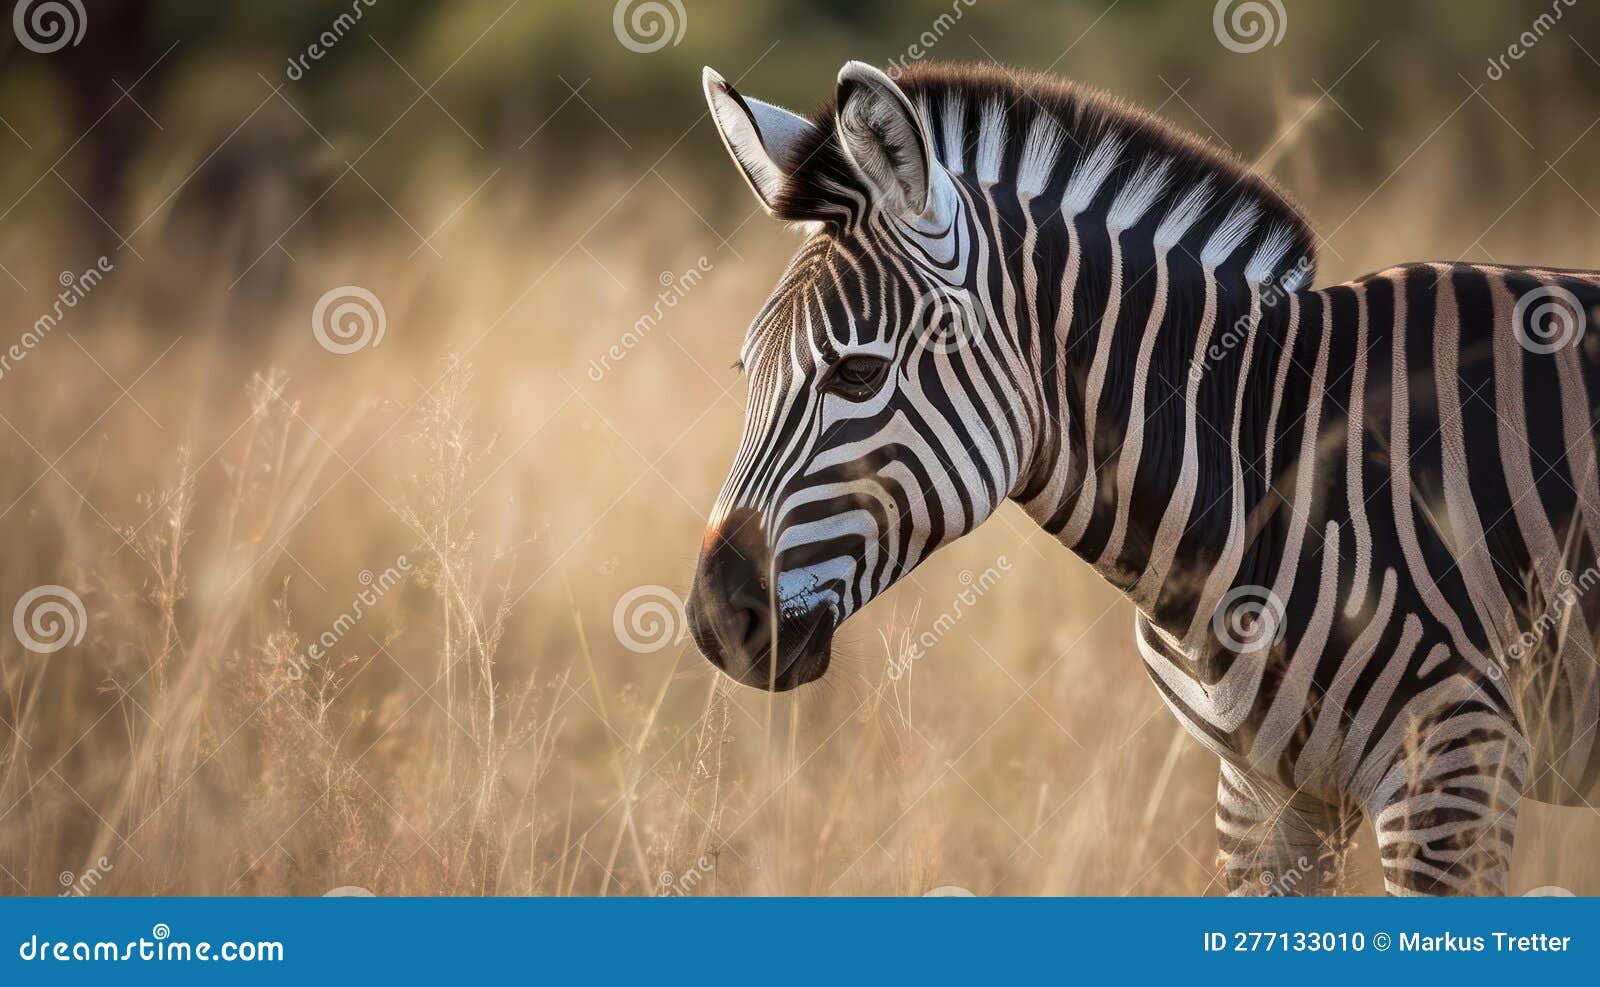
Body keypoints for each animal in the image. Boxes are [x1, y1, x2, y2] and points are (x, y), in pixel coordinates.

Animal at [684, 59, 1600, 896]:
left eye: (859, 374)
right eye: (744, 371)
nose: (716, 621)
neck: (1261, 463)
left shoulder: (1455, 763)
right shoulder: (1264, 791)